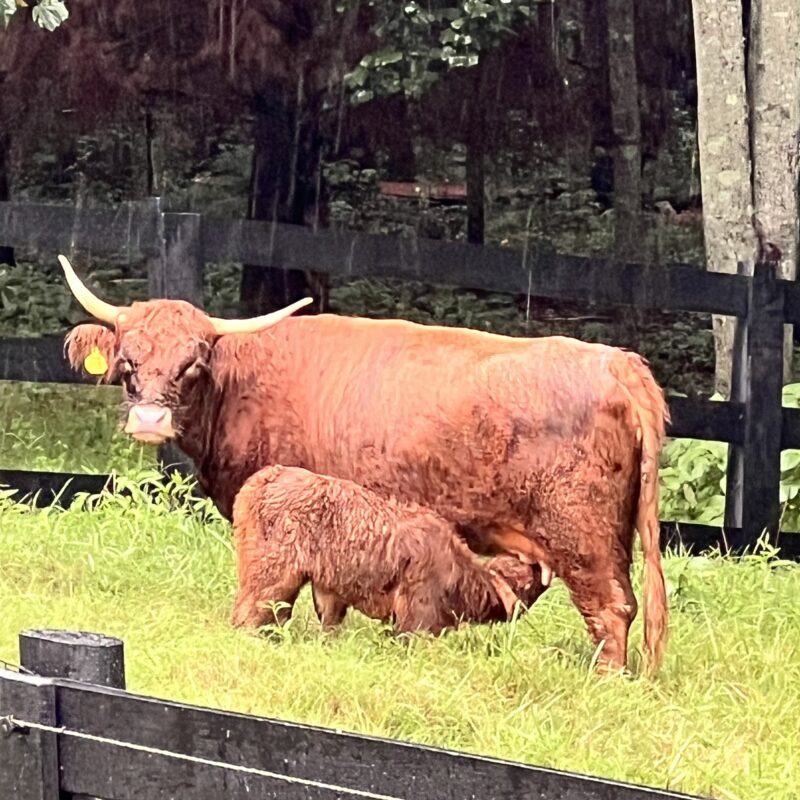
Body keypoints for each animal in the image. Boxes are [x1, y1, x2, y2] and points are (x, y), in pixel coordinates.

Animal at [231, 464, 545, 633]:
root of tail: (266, 476)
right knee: (248, 613)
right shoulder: (417, 615)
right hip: (272, 572)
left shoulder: (329, 589)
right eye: (528, 584)